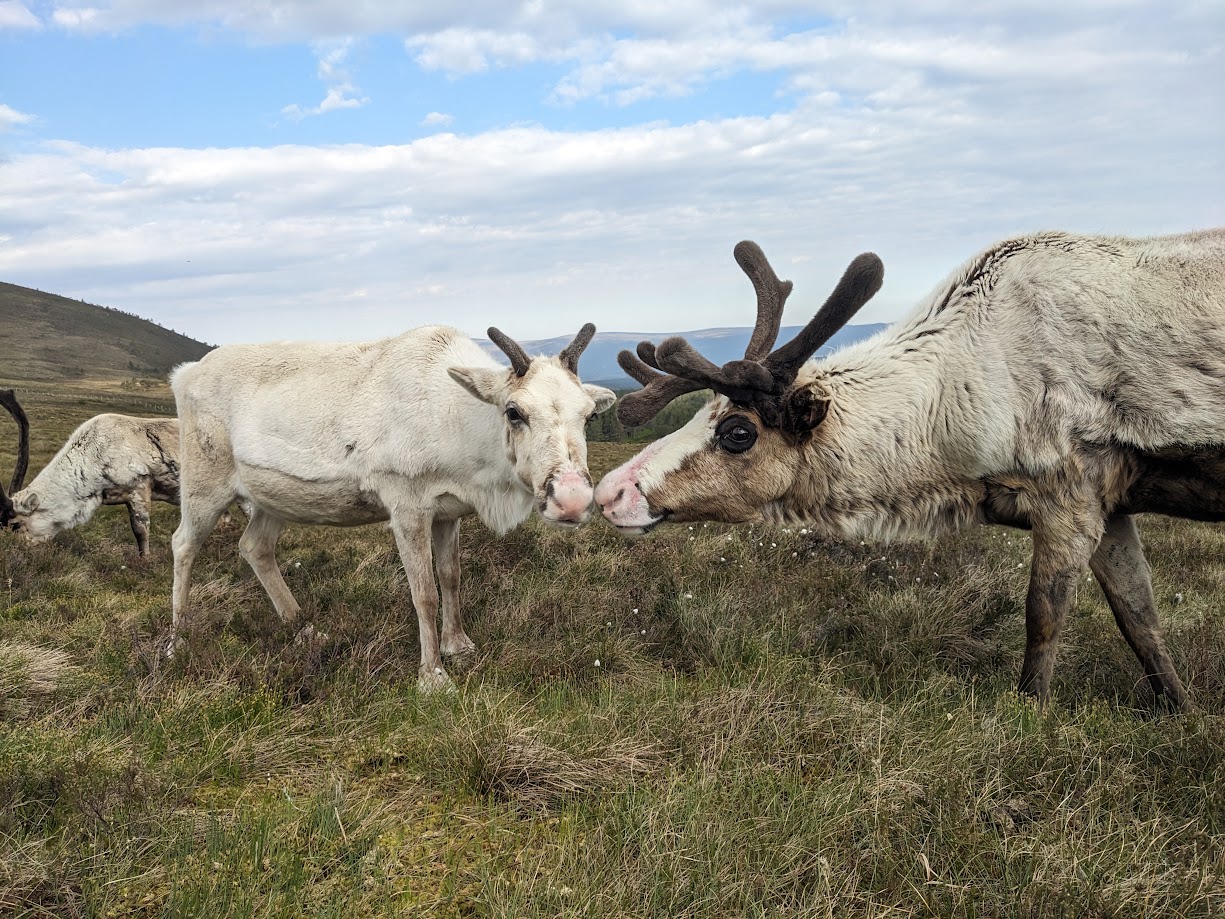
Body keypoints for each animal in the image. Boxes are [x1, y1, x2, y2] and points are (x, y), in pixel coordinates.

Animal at [169, 323, 616, 691]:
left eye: (588, 415)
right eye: (514, 411)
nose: (572, 499)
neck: (464, 428)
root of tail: (183, 375)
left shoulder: (448, 511)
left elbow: (451, 577)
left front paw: (458, 645)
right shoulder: (407, 506)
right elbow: (424, 593)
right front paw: (432, 676)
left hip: (271, 498)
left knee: (254, 547)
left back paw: (305, 629)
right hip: (204, 480)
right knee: (183, 544)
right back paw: (177, 642)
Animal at [595, 230, 1225, 711]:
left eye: (737, 432)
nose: (610, 491)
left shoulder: (1068, 493)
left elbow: (1043, 620)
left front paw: (1032, 715)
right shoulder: (1111, 503)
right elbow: (1141, 620)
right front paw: (1182, 712)